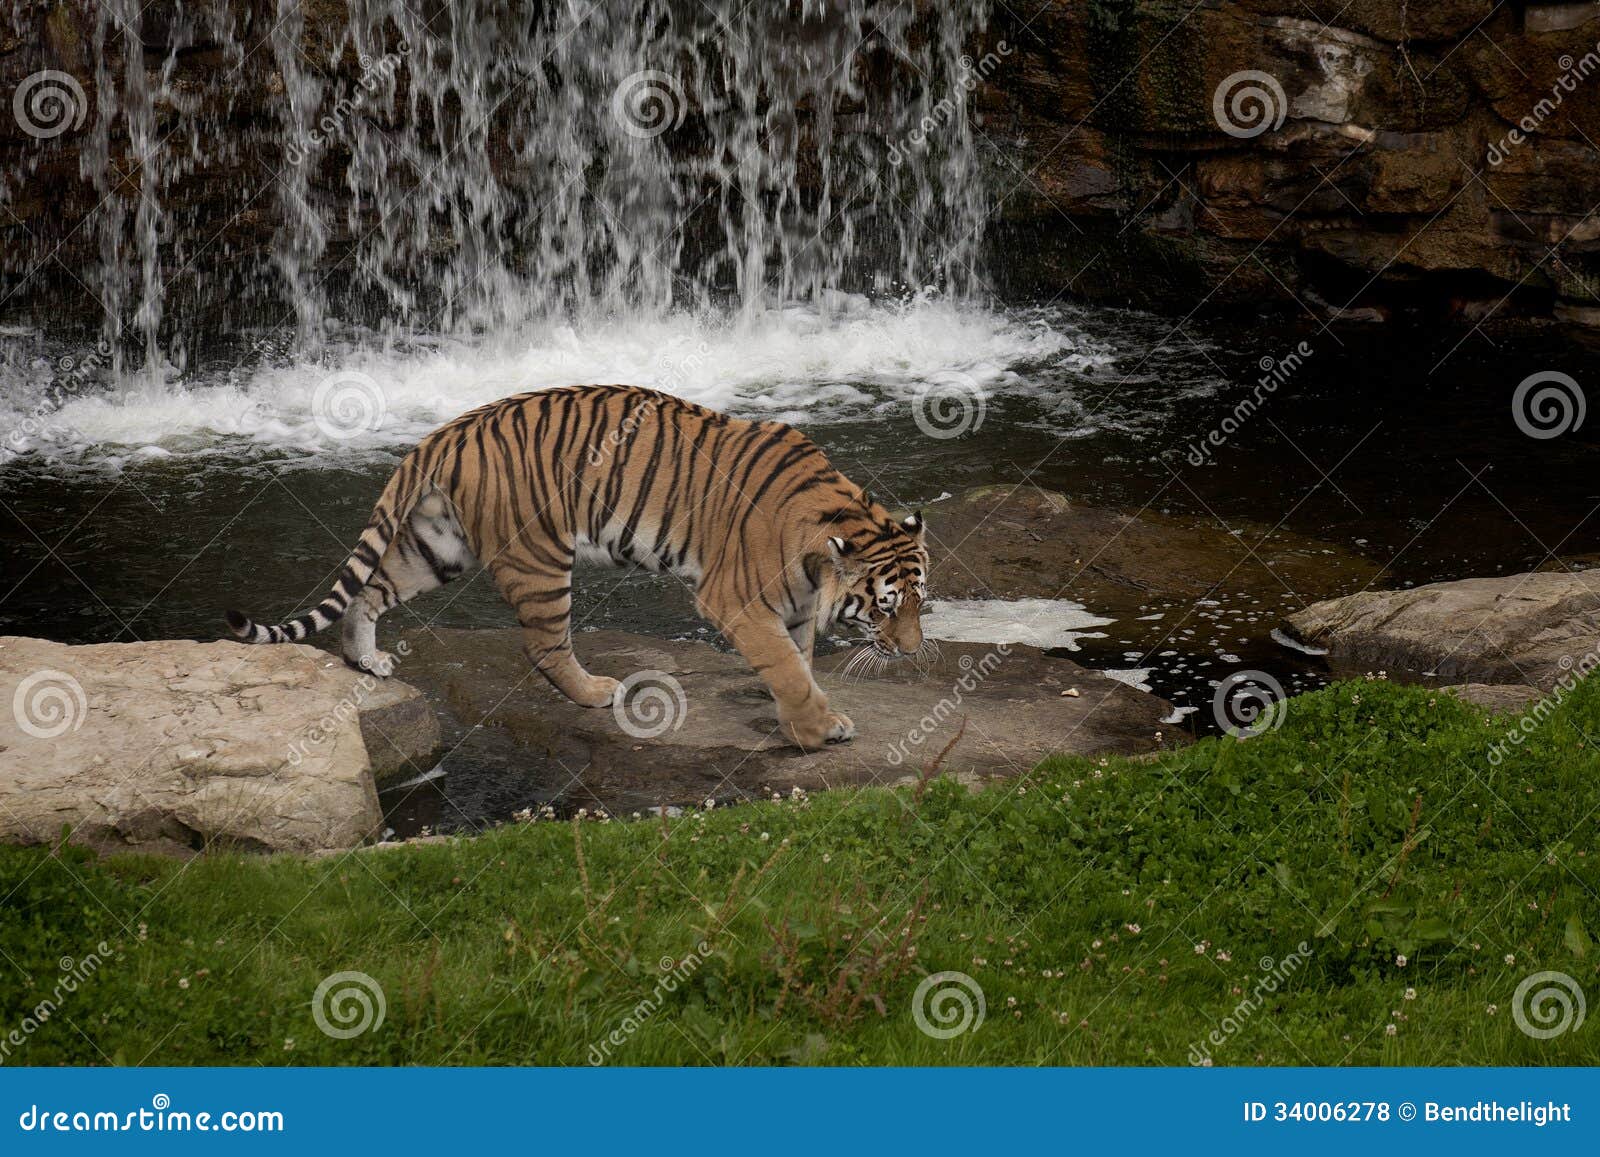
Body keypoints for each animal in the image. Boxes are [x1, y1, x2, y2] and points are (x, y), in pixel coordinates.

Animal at [225, 384, 930, 750]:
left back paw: (365, 660)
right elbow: (786, 662)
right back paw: (597, 692)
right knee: (544, 647)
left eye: (924, 603)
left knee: (368, 592)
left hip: (437, 549)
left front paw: (800, 711)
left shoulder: (799, 602)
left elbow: (798, 657)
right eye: (885, 608)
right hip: (540, 559)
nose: (913, 652)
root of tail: (448, 428)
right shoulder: (734, 599)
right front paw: (817, 728)